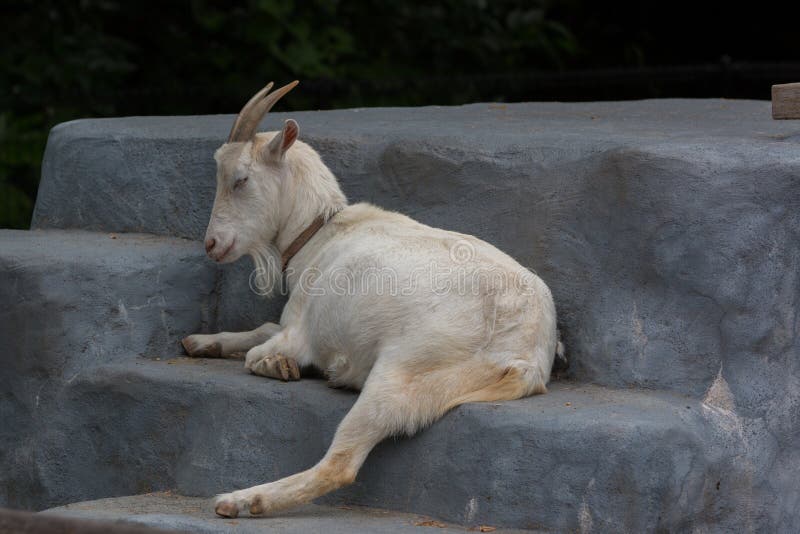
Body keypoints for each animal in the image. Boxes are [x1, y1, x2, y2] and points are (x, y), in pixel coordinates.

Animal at [181, 81, 561, 518]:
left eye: (240, 179)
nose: (212, 244)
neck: (320, 235)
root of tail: (525, 352)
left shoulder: (302, 331)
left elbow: (259, 349)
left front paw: (277, 365)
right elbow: (260, 328)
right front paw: (201, 342)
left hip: (404, 370)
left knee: (340, 464)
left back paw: (240, 500)